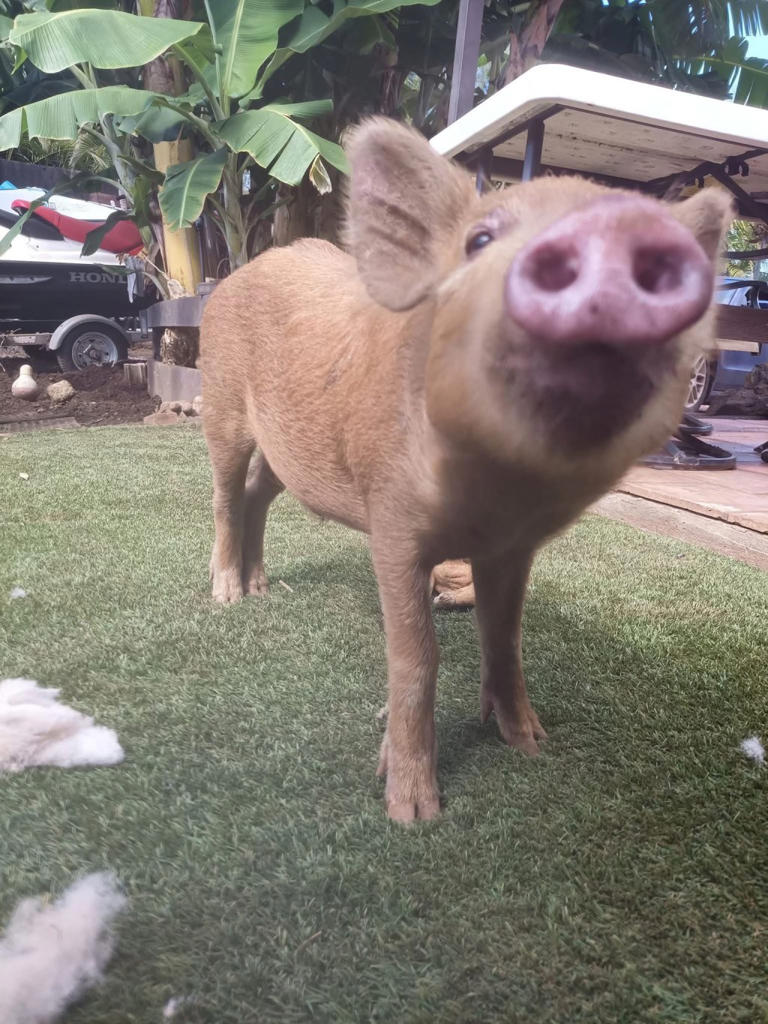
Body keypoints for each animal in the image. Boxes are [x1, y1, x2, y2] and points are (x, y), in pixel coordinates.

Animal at [200, 117, 731, 823]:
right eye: (479, 240)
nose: (615, 232)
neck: (494, 494)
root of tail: (236, 274)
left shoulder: (513, 546)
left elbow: (505, 635)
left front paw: (531, 743)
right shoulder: (392, 524)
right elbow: (416, 657)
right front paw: (413, 813)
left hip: (290, 445)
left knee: (261, 491)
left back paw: (263, 589)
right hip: (221, 400)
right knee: (226, 495)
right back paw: (228, 598)